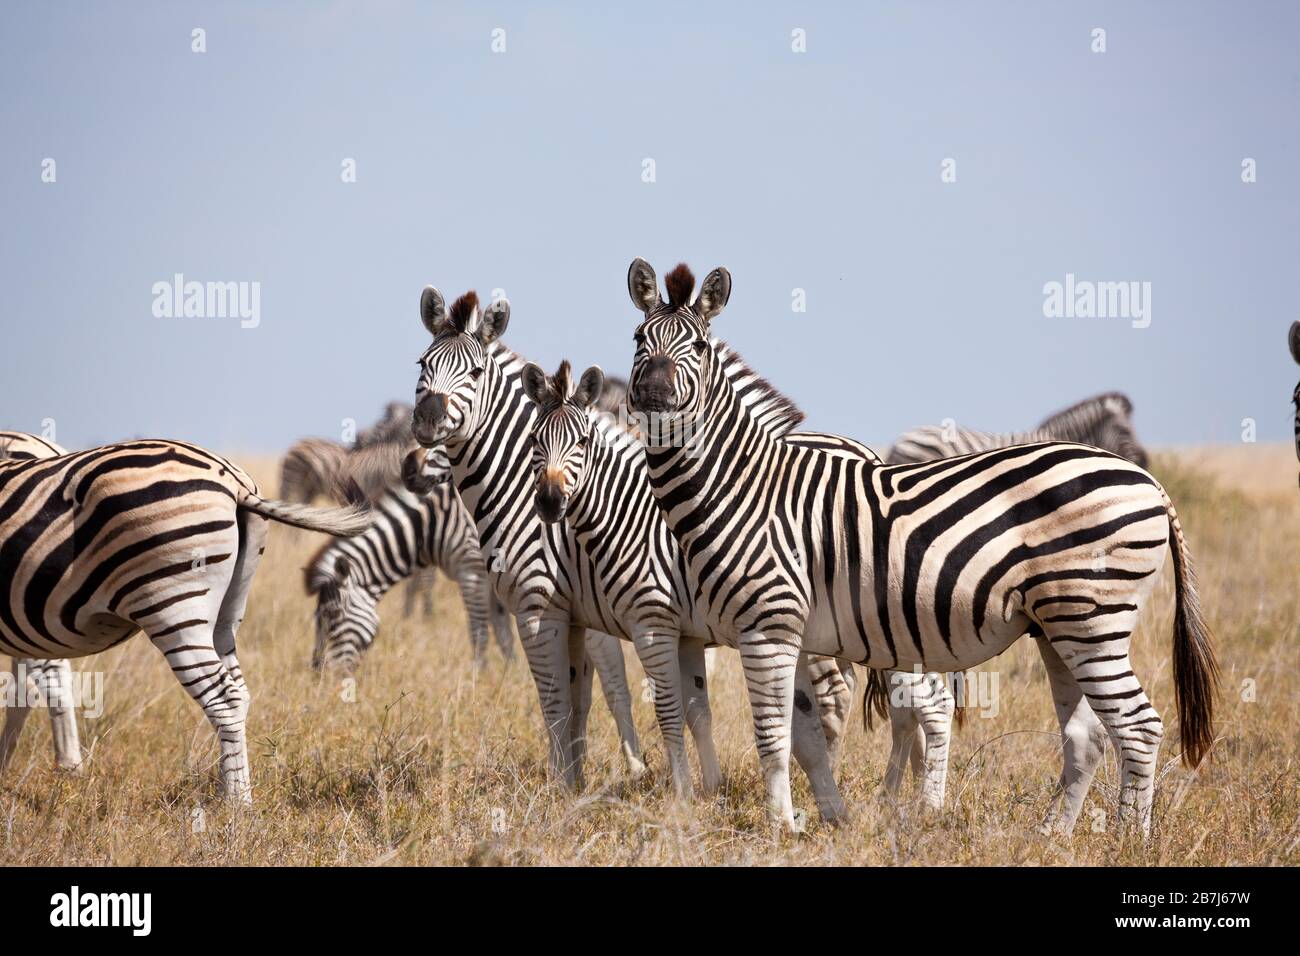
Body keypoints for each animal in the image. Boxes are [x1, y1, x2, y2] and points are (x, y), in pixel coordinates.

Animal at [0, 438, 370, 802]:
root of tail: (234, 482)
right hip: (225, 616)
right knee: (239, 691)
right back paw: (235, 793)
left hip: (173, 608)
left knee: (224, 699)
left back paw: (235, 805)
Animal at [305, 478, 514, 672]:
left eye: (332, 614)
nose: (318, 672)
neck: (432, 524)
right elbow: (502, 630)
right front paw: (510, 671)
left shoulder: (472, 571)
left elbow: (479, 629)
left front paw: (479, 673)